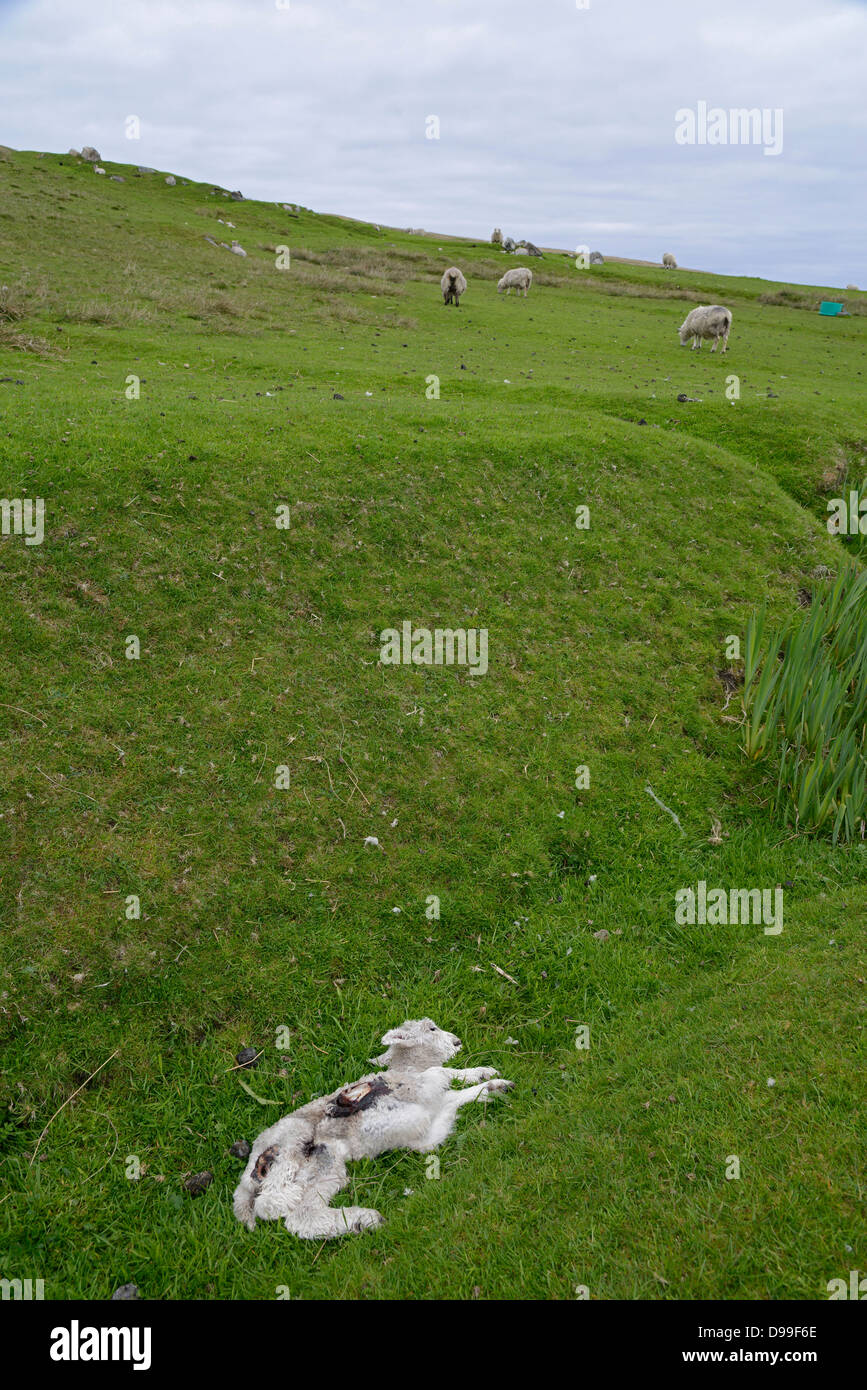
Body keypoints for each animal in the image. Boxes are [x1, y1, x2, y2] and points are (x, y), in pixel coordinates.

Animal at [233, 1018, 513, 1239]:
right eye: (432, 1028)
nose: (457, 1042)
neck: (407, 1070)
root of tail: (245, 1179)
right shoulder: (416, 1091)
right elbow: (441, 1072)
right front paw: (480, 1075)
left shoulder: (426, 1129)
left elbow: (455, 1097)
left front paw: (492, 1084)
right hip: (292, 1139)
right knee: (268, 1202)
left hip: (325, 1166)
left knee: (302, 1217)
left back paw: (361, 1220)